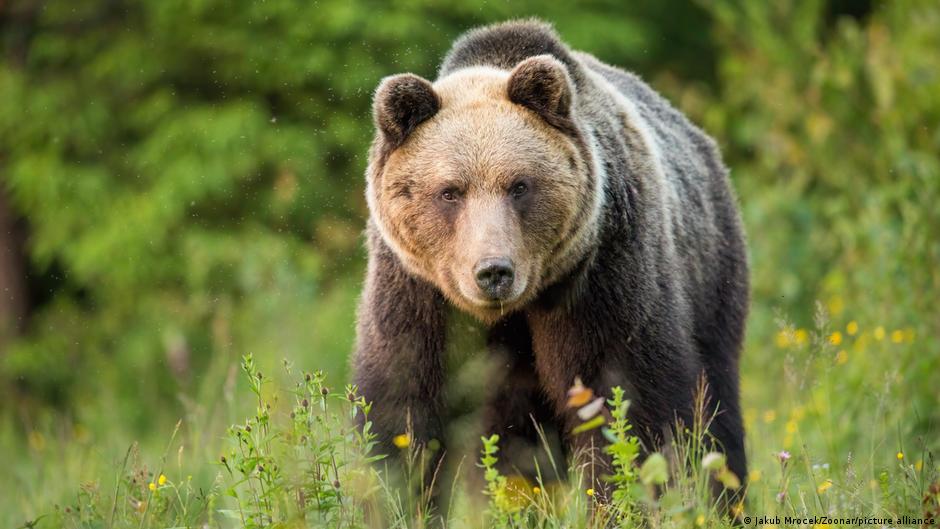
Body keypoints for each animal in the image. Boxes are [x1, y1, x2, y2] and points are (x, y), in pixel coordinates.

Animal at [353, 19, 749, 506]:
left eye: (519, 185)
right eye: (450, 192)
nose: (493, 272)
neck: (513, 309)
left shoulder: (601, 275)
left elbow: (623, 398)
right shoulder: (415, 291)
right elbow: (402, 405)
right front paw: (398, 497)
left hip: (712, 279)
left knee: (717, 408)